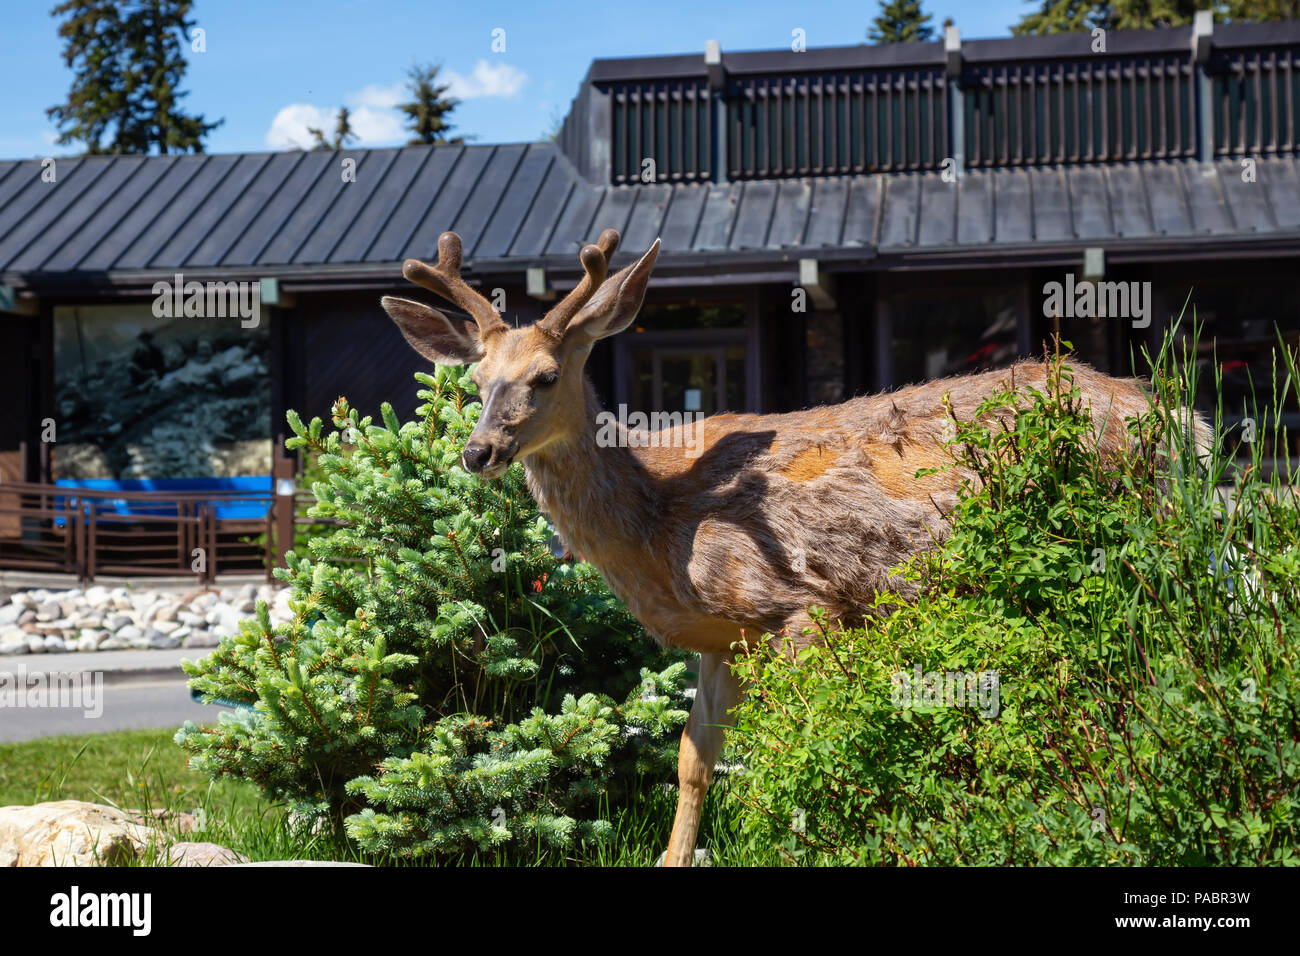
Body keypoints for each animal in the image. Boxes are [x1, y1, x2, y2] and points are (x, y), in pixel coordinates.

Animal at [380, 228, 1206, 866]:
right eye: (477, 379)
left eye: (547, 375)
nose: (478, 452)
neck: (655, 523)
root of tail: (1181, 420)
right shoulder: (721, 639)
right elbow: (694, 760)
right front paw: (672, 857)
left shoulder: (801, 607)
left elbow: (805, 741)